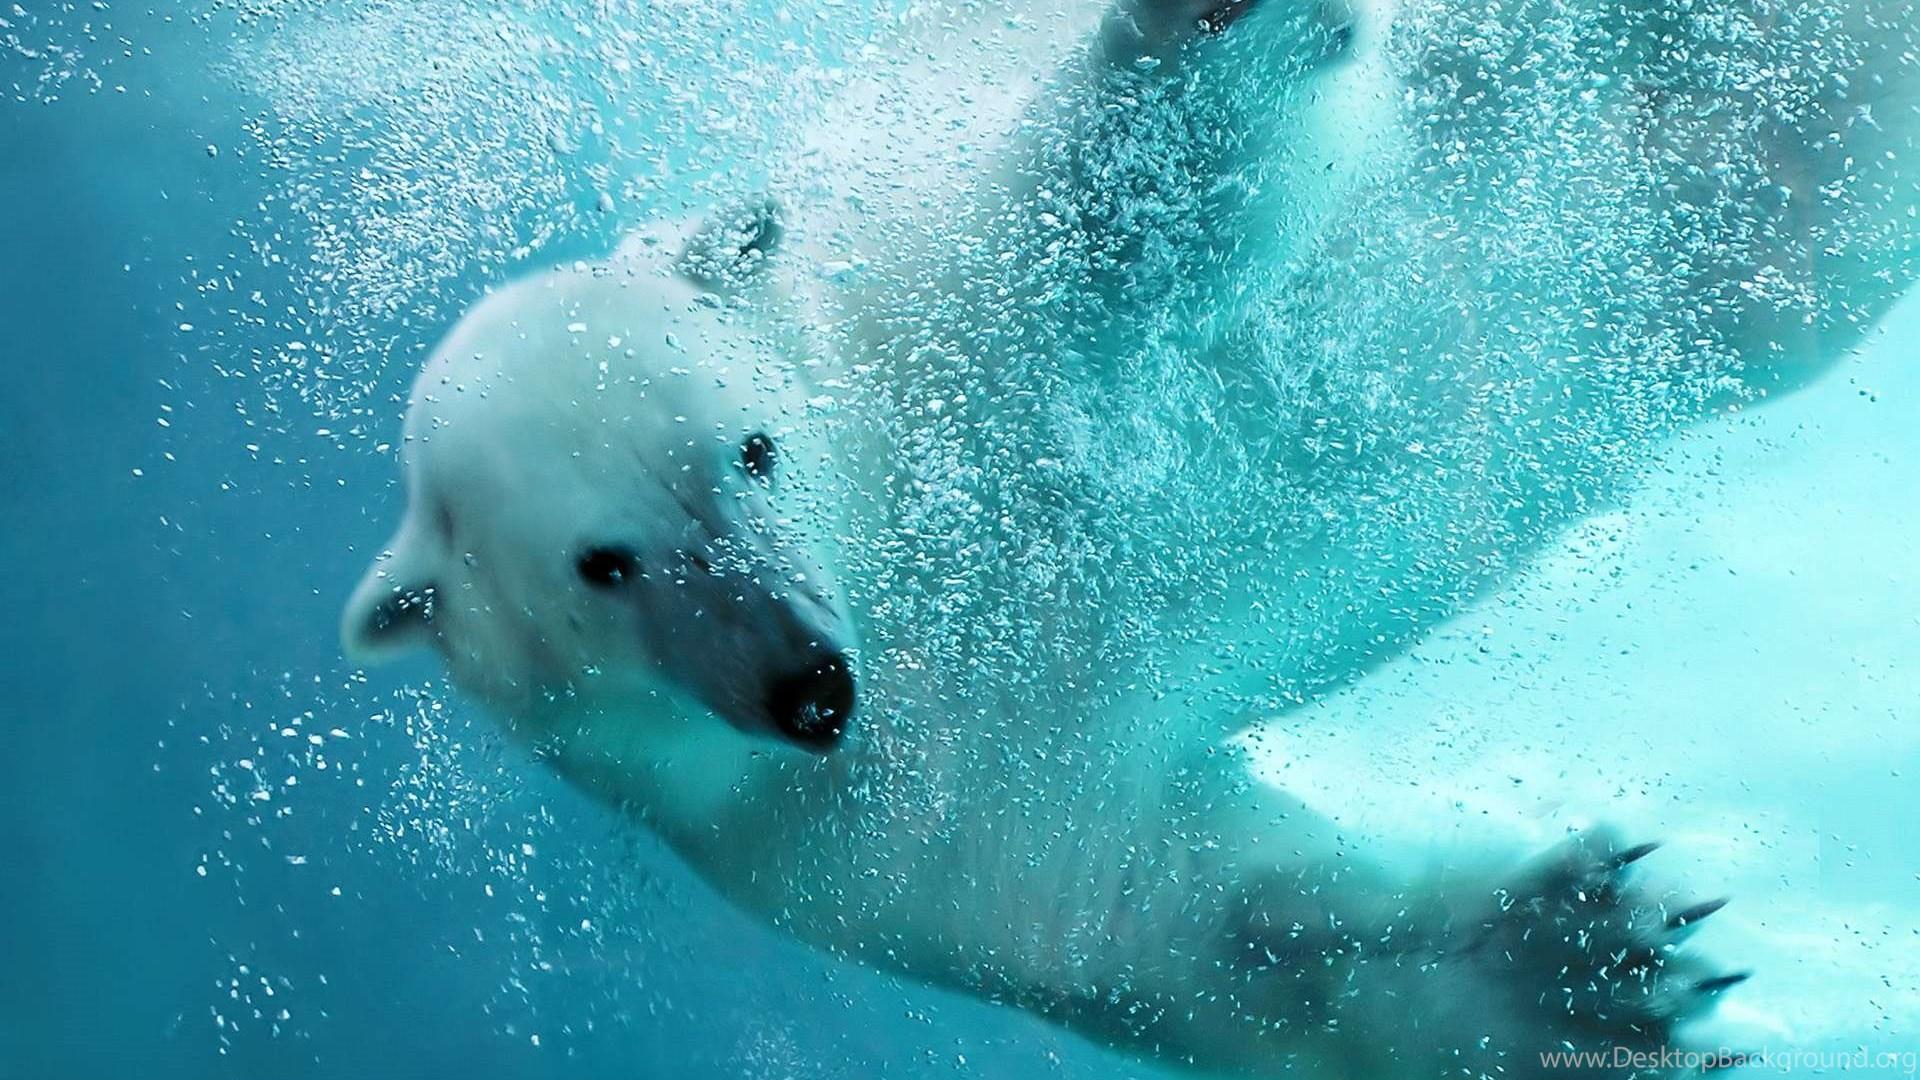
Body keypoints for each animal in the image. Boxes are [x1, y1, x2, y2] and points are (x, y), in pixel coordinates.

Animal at [342, 0, 1916, 1074]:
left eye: (751, 448)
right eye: (602, 567)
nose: (811, 686)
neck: (905, 556)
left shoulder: (950, 307)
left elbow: (1140, 204)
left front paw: (1212, 17)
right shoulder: (856, 836)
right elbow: (1180, 919)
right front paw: (1586, 966)